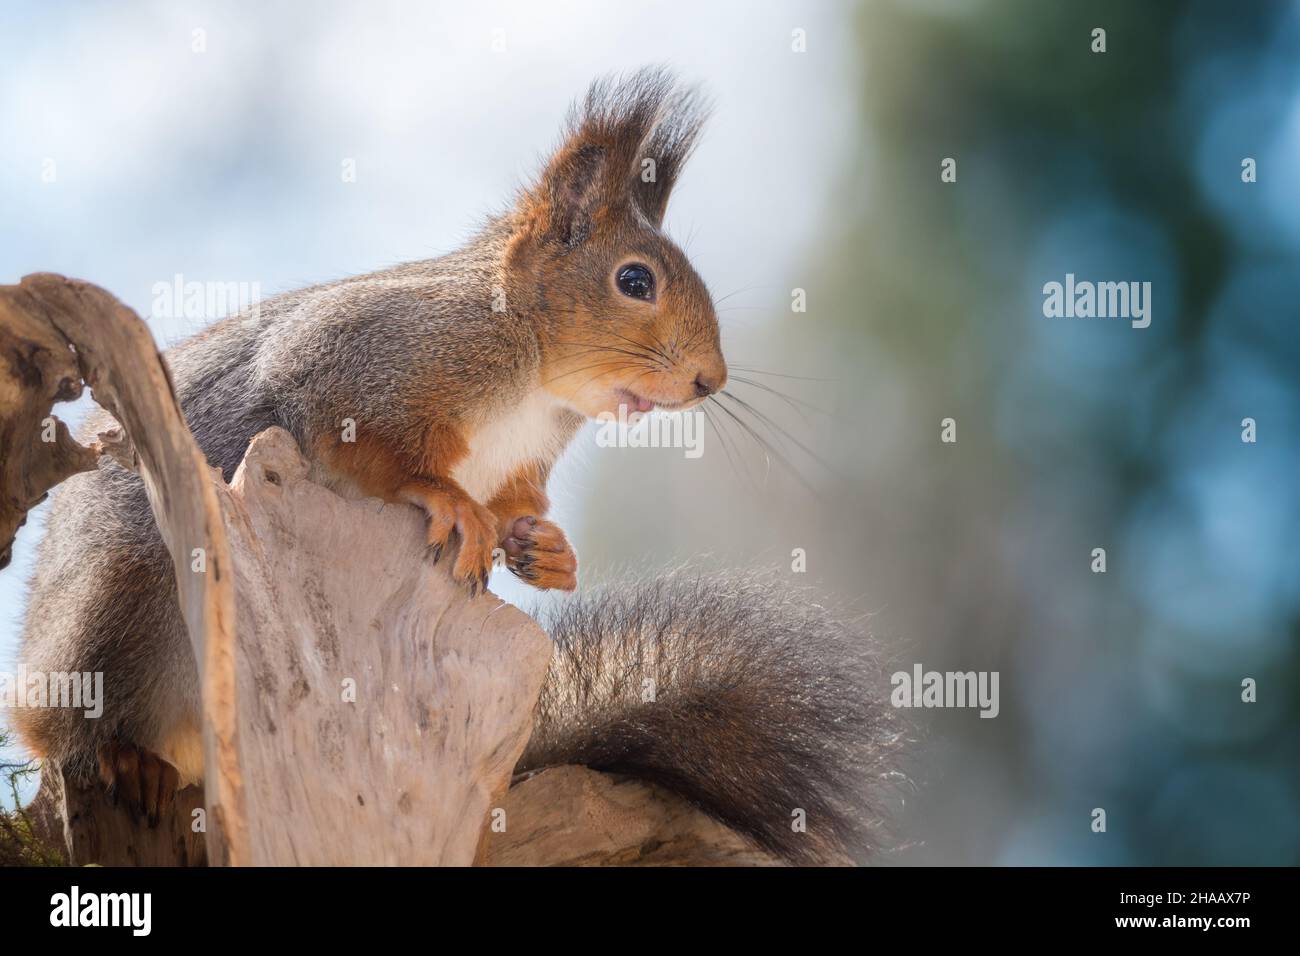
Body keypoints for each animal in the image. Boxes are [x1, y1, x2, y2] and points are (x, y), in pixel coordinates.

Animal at [12, 69, 901, 864]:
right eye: (634, 280)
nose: (710, 381)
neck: (535, 380)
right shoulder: (355, 363)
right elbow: (370, 446)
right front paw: (449, 503)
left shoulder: (520, 462)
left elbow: (516, 507)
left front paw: (547, 552)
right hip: (123, 593)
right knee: (59, 722)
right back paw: (117, 753)